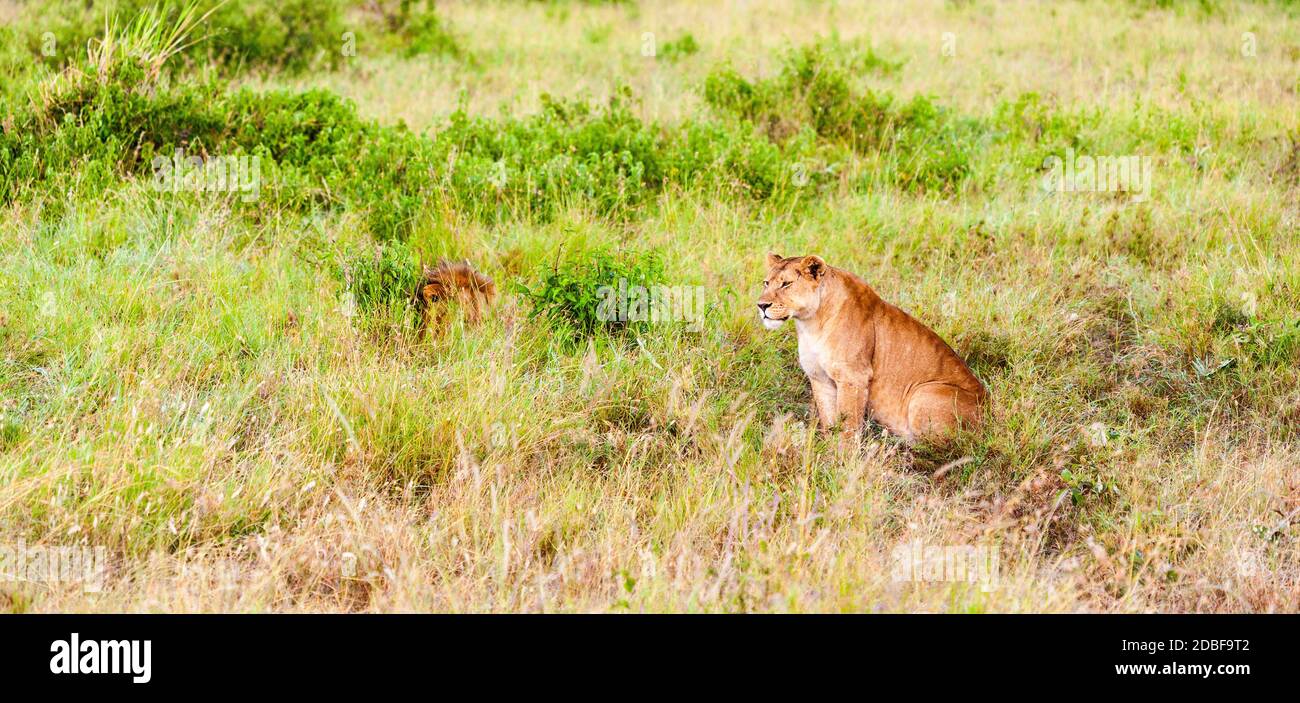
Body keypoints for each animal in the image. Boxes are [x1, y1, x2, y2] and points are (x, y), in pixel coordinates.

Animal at [757, 253, 986, 447]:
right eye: (766, 283)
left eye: (786, 284)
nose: (761, 305)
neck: (810, 324)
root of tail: (988, 408)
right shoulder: (819, 378)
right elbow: (830, 421)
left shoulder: (853, 377)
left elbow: (848, 424)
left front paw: (844, 459)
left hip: (923, 393)